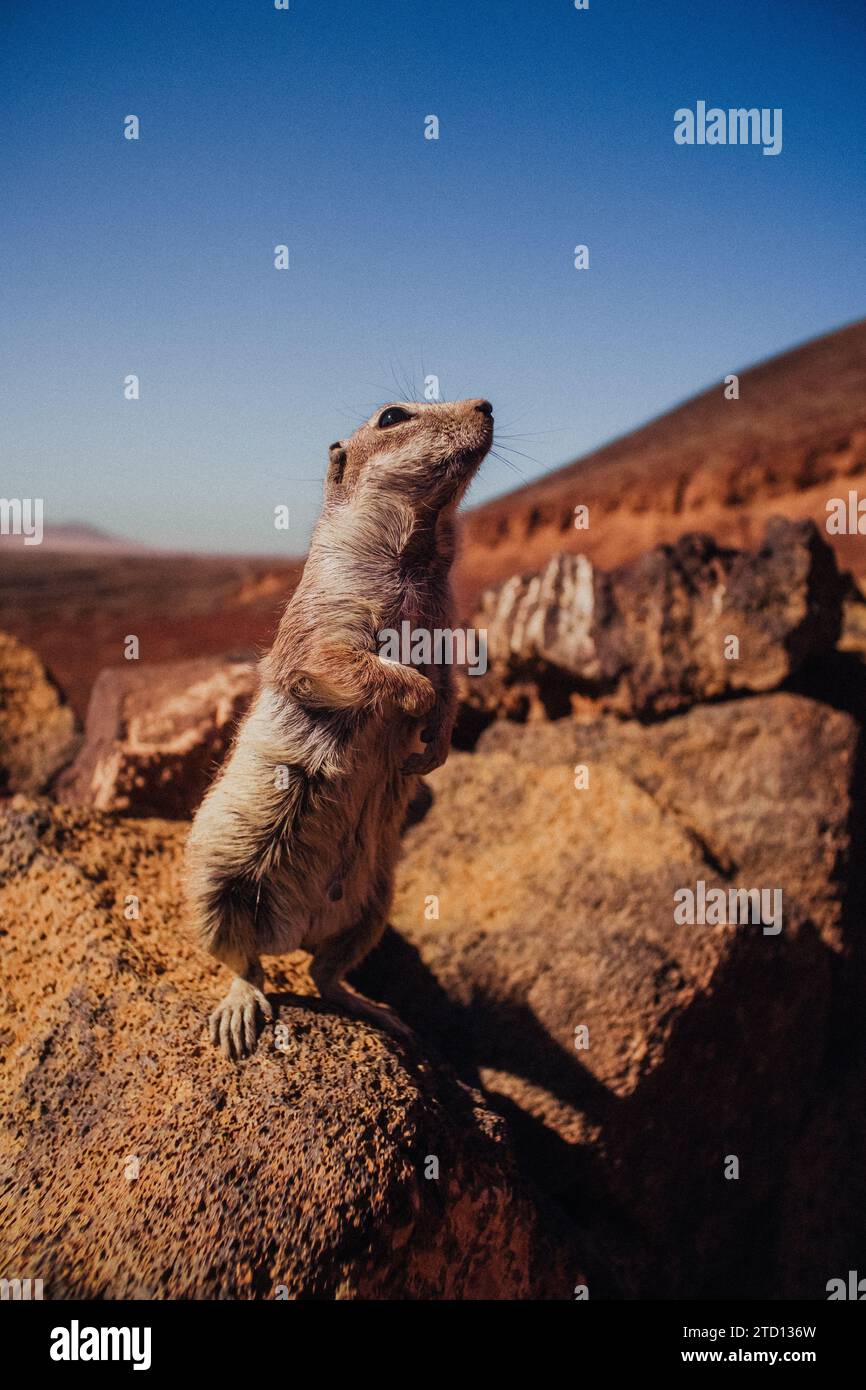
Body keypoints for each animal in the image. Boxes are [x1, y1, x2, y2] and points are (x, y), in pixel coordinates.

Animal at [185, 397, 493, 1057]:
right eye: (393, 416)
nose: (486, 404)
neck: (418, 551)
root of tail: (294, 927)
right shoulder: (327, 624)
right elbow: (357, 667)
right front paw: (414, 705)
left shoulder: (448, 628)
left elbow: (451, 688)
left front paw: (429, 750)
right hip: (212, 884)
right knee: (245, 964)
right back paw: (240, 1013)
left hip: (374, 904)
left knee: (324, 975)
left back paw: (379, 1011)